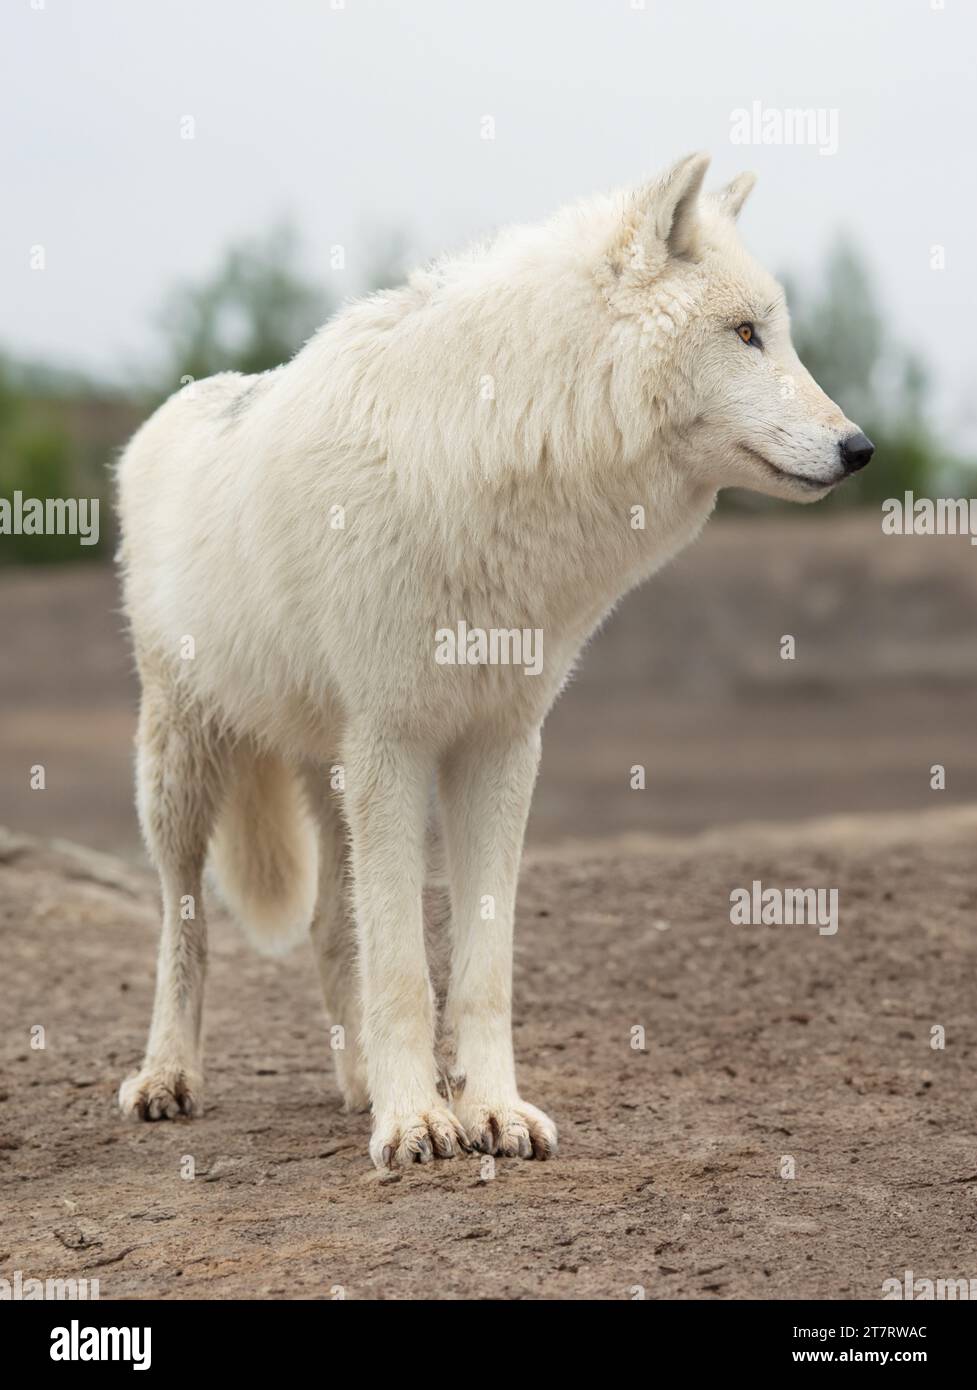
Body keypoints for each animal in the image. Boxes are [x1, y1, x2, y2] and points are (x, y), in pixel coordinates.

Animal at [116, 153, 873, 1168]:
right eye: (745, 333)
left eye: (774, 332)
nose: (859, 448)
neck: (506, 452)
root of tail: (181, 403)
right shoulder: (394, 746)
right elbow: (404, 969)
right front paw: (414, 1124)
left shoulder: (502, 747)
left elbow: (479, 969)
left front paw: (488, 1111)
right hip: (184, 770)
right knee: (181, 922)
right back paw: (169, 1078)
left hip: (328, 774)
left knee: (329, 928)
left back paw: (359, 1086)